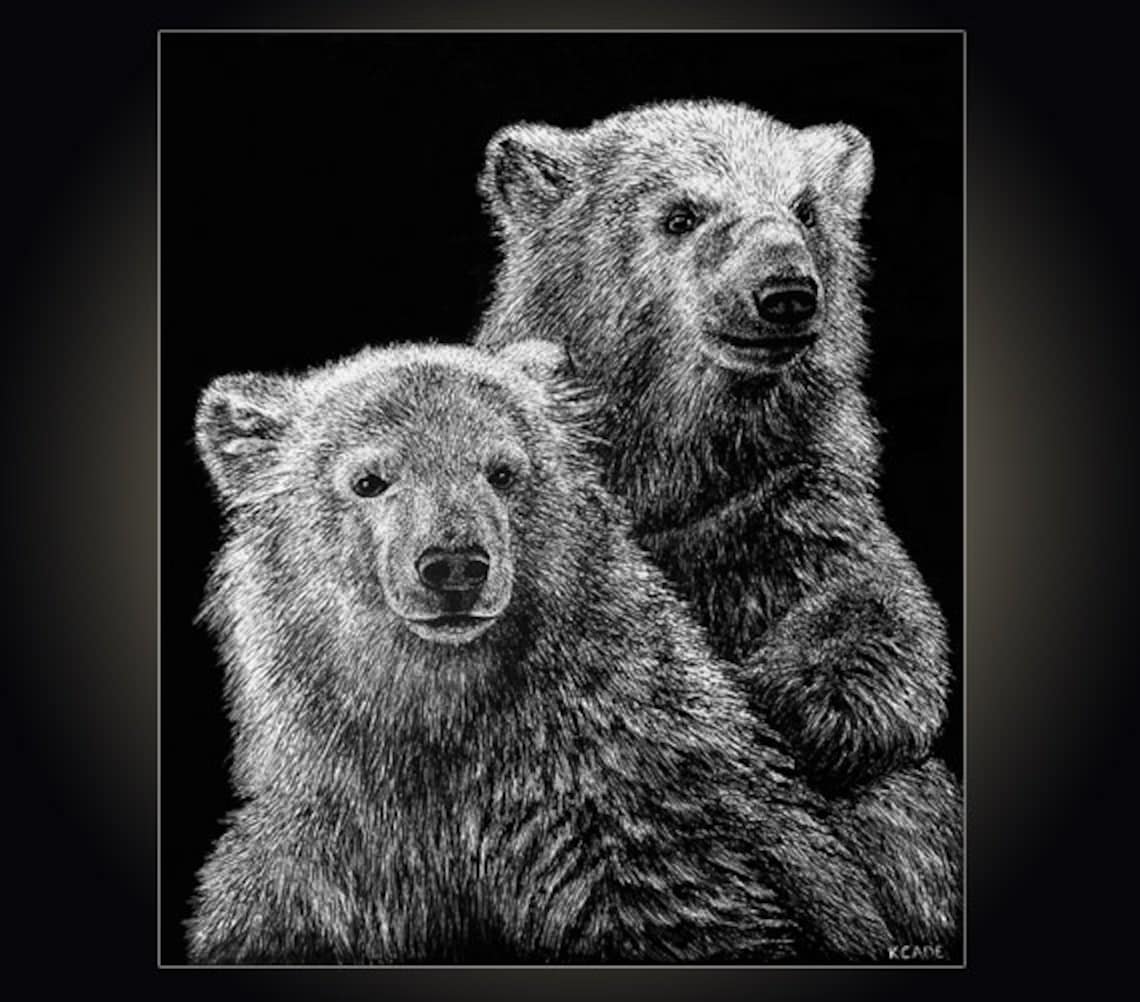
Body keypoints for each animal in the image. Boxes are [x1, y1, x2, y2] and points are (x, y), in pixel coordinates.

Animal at [474, 100, 962, 946]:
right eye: (682, 214)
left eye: (805, 209)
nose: (786, 290)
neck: (674, 472)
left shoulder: (789, 501)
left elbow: (887, 619)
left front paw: (793, 707)